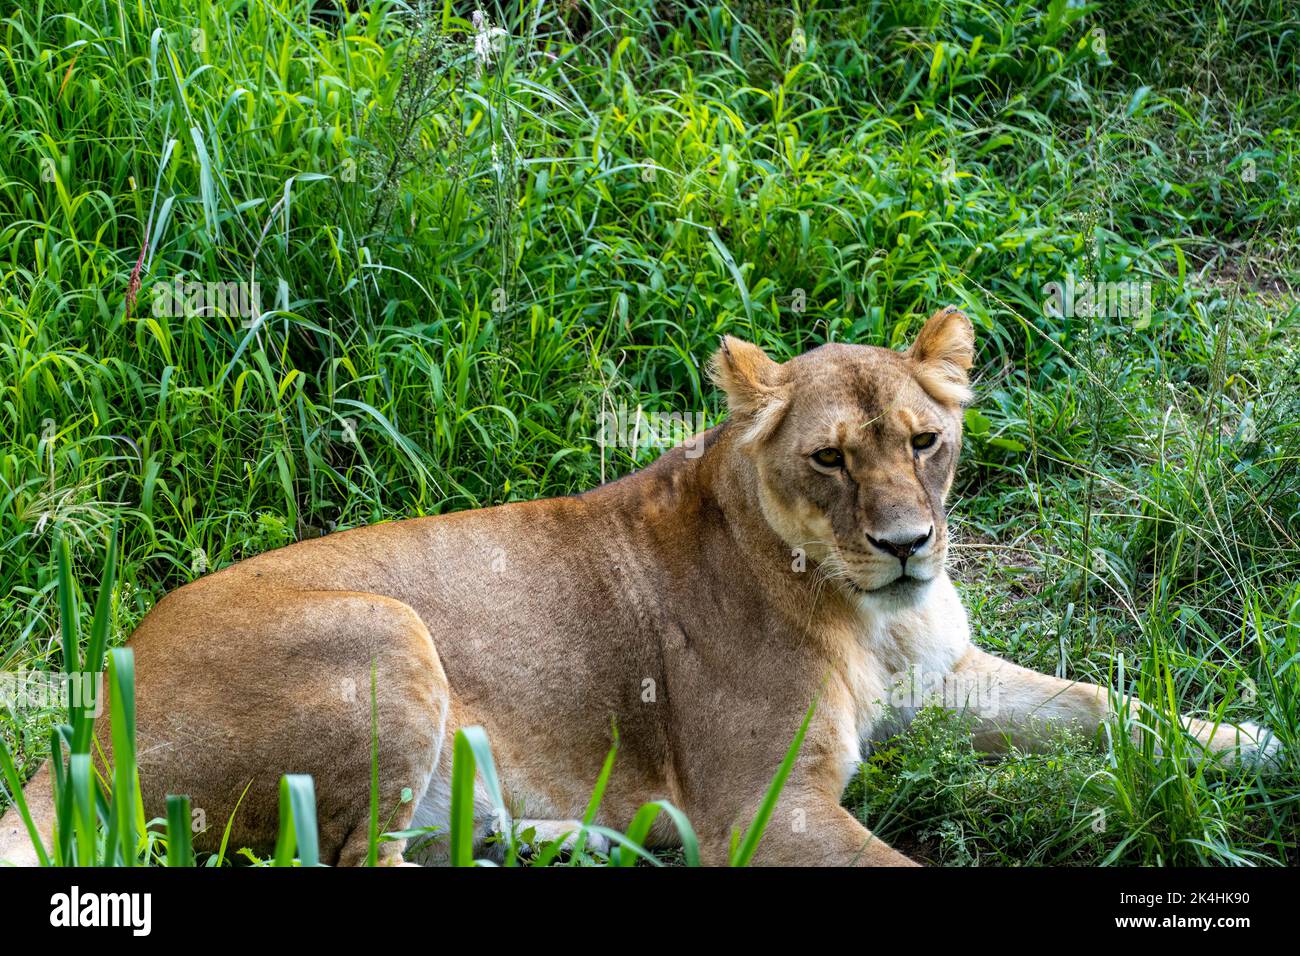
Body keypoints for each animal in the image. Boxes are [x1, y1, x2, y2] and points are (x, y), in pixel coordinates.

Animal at [0, 307, 1279, 867]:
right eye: (830, 457)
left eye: (925, 441)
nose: (911, 541)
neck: (875, 611)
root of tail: (82, 722)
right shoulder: (766, 805)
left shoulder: (950, 677)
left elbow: (1104, 704)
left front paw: (1252, 739)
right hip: (385, 629)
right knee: (351, 860)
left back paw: (589, 844)